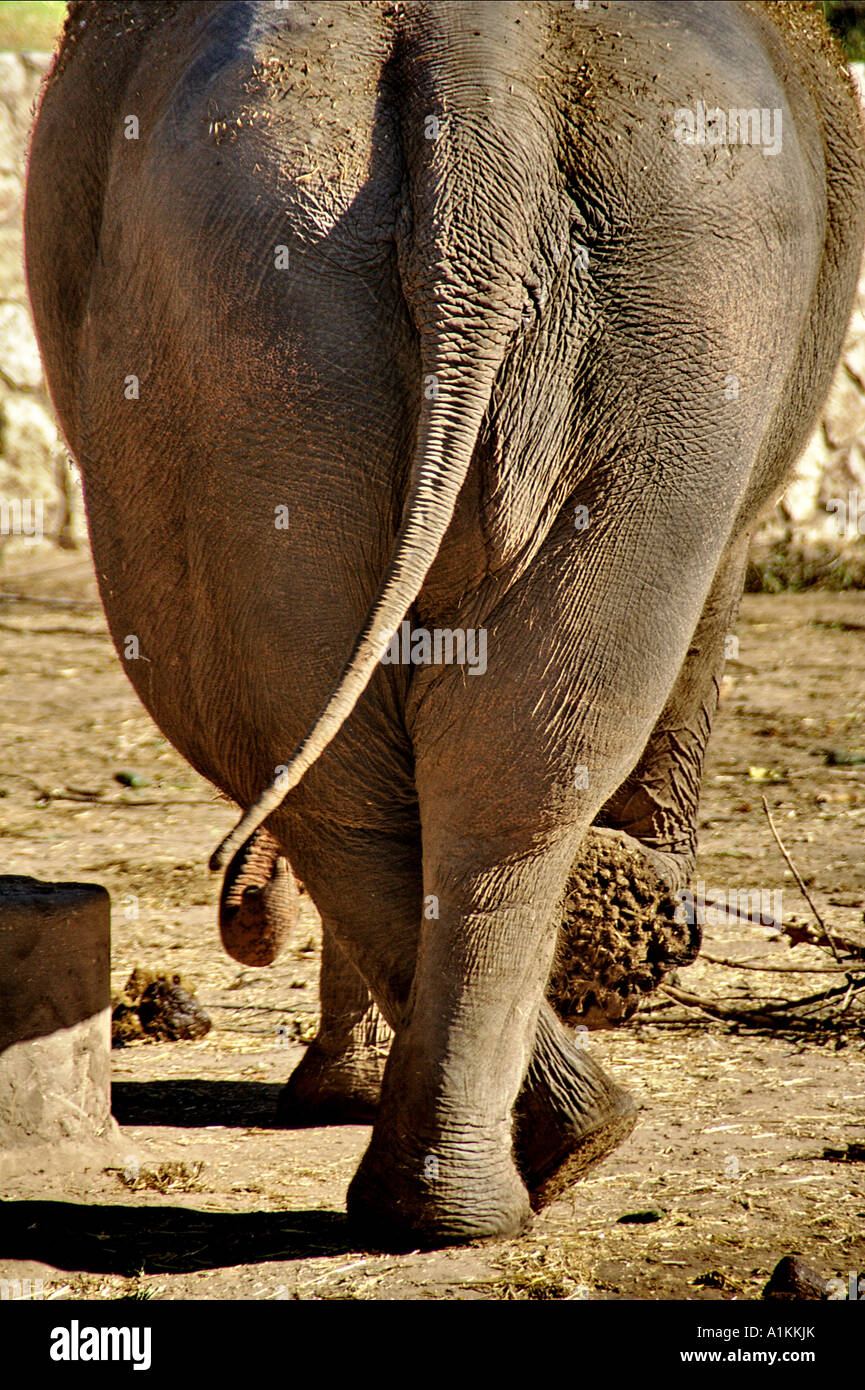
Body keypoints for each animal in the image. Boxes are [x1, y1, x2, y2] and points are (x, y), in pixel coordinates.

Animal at [25, 0, 865, 1247]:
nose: (246, 914)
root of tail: (482, 82)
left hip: (278, 315)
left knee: (373, 750)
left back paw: (481, 1178)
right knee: (457, 745)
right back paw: (549, 1156)